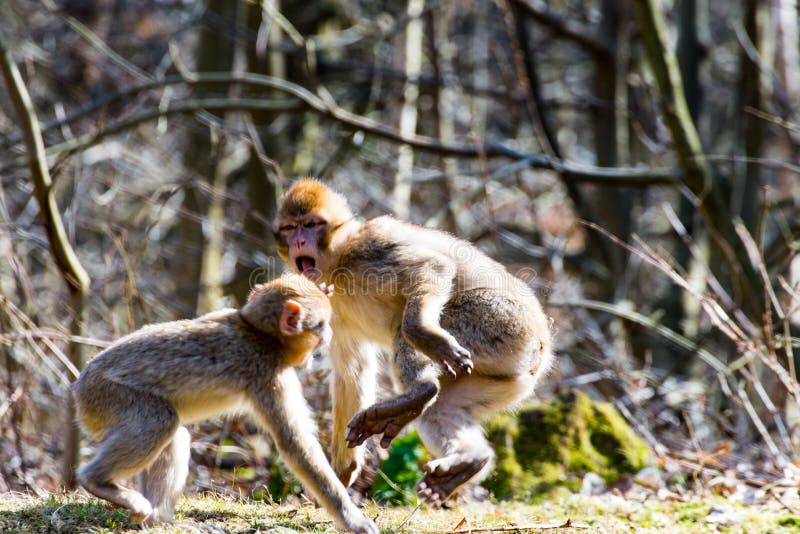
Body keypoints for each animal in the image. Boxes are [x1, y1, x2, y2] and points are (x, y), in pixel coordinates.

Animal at [71, 273, 378, 534]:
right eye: (322, 325)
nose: (329, 335)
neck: (260, 334)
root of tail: (79, 386)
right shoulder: (269, 375)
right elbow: (295, 444)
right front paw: (353, 519)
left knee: (174, 435)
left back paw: (156, 520)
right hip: (107, 396)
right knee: (160, 422)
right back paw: (97, 481)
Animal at [274, 178, 553, 506]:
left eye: (311, 224)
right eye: (290, 228)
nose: (299, 242)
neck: (338, 259)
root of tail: (542, 347)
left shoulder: (370, 249)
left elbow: (433, 266)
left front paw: (421, 329)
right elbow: (351, 370)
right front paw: (343, 470)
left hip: (501, 323)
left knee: (406, 328)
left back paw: (420, 390)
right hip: (511, 380)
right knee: (439, 409)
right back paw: (468, 460)